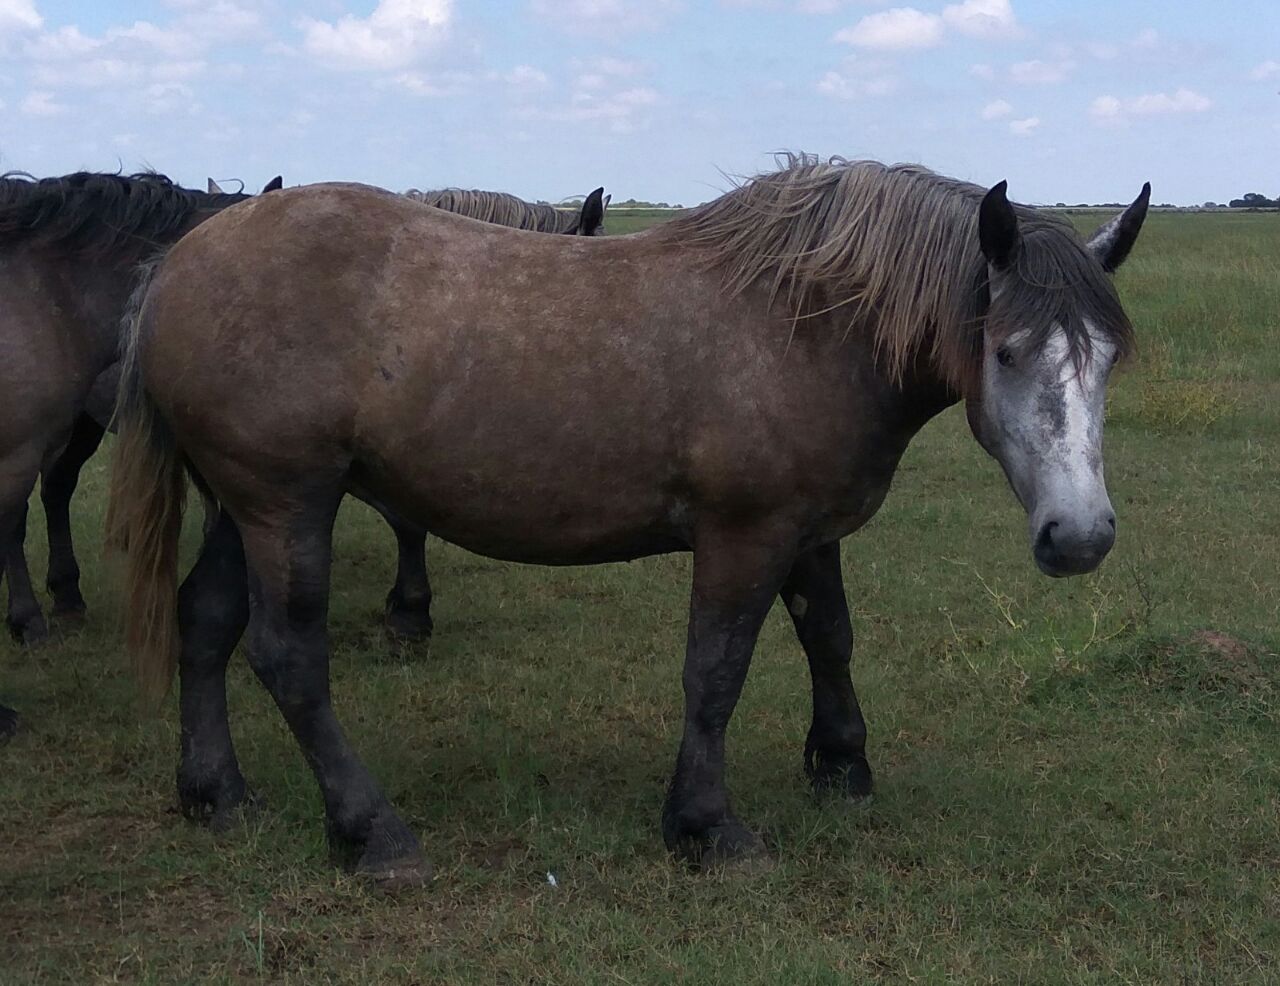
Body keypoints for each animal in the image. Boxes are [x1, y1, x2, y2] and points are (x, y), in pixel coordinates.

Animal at [108, 155, 1149, 883]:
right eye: (1007, 351)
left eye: (1108, 357)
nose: (1082, 537)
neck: (805, 325)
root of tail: (179, 261)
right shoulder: (744, 536)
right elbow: (716, 674)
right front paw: (706, 826)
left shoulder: (806, 531)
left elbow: (830, 638)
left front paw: (842, 768)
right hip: (288, 506)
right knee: (289, 658)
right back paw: (373, 834)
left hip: (245, 508)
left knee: (206, 625)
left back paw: (217, 797)